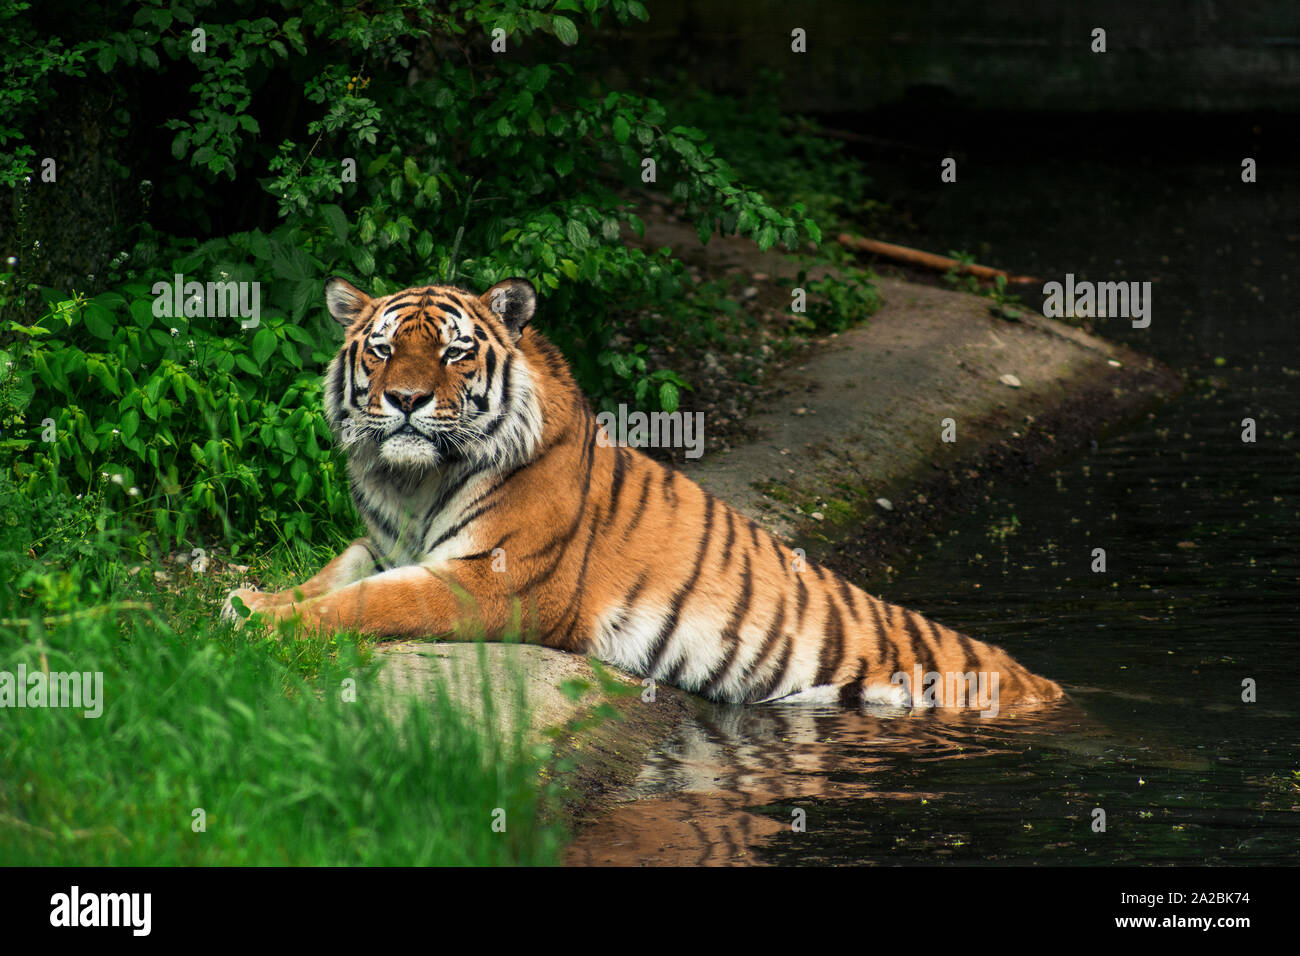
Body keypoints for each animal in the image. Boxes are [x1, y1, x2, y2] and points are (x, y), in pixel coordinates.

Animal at [222, 276, 1064, 711]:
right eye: (383, 348)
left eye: (456, 353)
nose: (403, 400)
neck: (411, 482)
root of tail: (1044, 683)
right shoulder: (385, 544)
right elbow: (337, 574)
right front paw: (251, 598)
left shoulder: (490, 580)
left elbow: (370, 602)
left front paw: (261, 622)